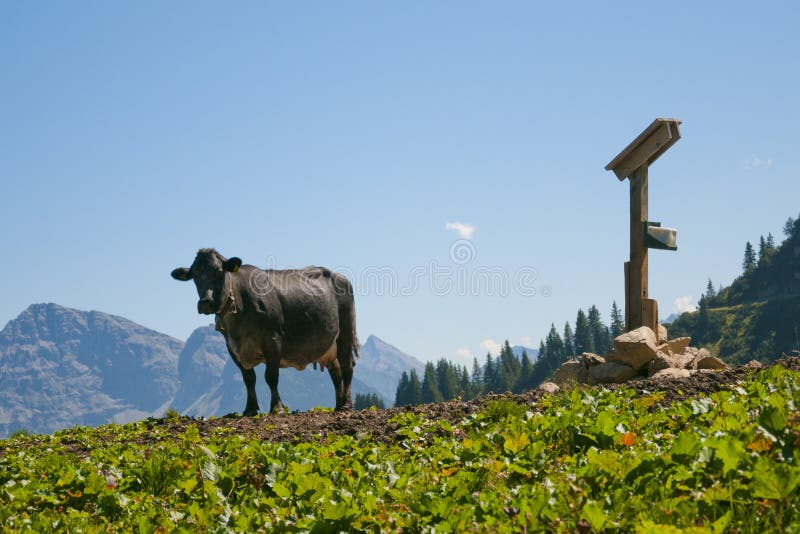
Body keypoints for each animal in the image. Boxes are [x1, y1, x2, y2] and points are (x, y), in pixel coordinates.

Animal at [171, 248, 359, 414]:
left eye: (218, 272)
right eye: (195, 276)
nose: (205, 302)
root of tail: (339, 276)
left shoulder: (273, 339)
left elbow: (271, 376)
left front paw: (277, 407)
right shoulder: (231, 346)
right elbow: (248, 378)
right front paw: (250, 409)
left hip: (346, 332)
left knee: (347, 367)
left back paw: (346, 405)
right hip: (328, 347)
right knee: (335, 372)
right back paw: (338, 405)